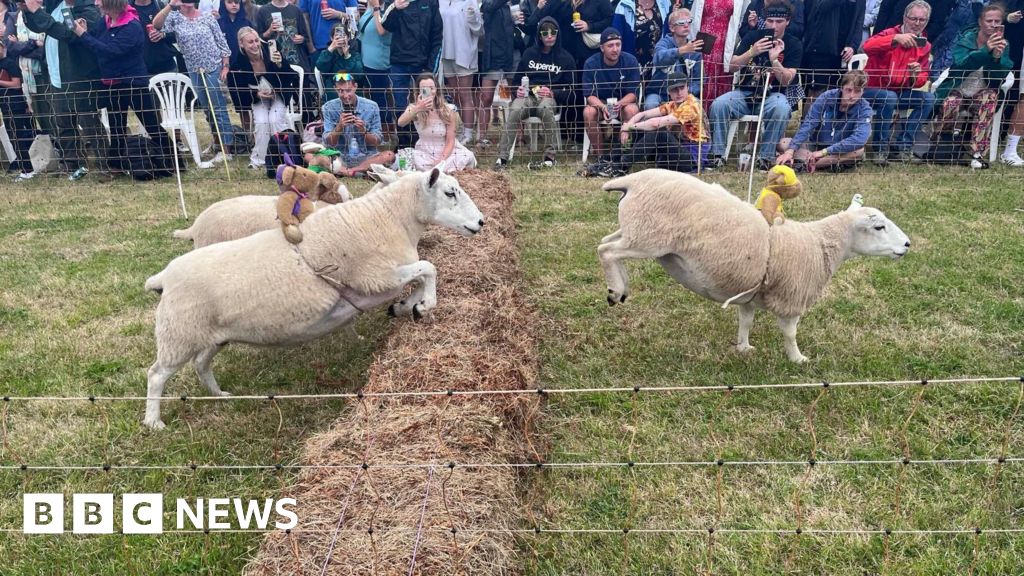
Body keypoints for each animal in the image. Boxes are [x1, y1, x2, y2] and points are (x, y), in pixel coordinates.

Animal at [598, 169, 910, 363]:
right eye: (879, 227)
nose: (907, 245)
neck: (819, 244)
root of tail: (632, 181)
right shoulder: (791, 299)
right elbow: (790, 333)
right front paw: (797, 358)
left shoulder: (749, 296)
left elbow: (745, 321)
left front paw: (744, 347)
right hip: (649, 237)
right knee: (607, 251)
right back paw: (616, 289)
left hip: (635, 229)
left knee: (605, 242)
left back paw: (622, 287)